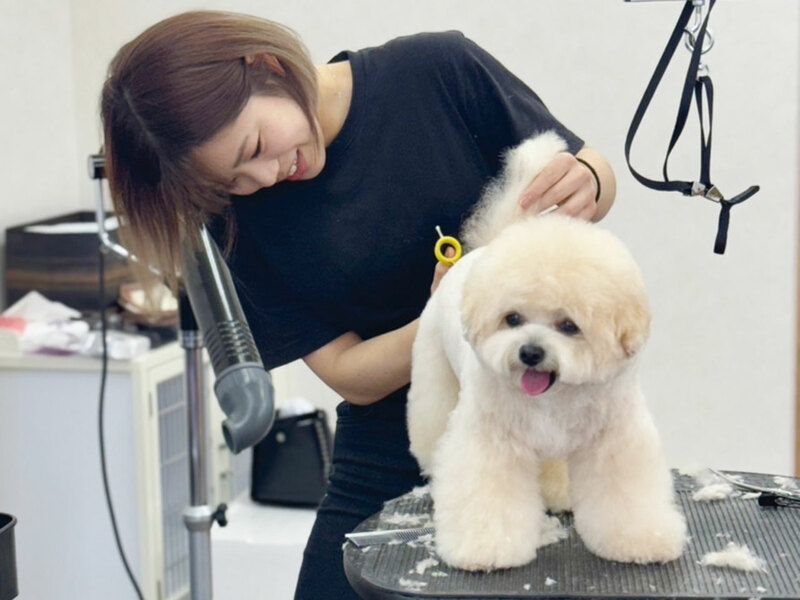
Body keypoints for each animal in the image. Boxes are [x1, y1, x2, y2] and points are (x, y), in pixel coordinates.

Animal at [407, 133, 687, 571]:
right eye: (513, 318)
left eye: (569, 326)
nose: (530, 353)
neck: (555, 399)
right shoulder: (491, 443)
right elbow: (487, 494)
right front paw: (485, 548)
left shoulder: (613, 441)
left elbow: (624, 495)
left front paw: (638, 541)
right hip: (434, 379)